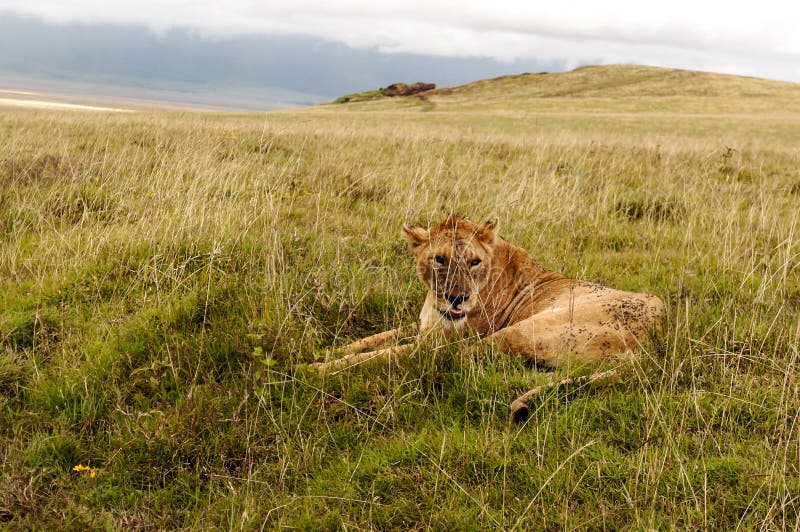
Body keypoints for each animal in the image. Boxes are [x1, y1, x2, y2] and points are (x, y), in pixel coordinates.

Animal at [311, 216, 665, 419]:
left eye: (474, 261)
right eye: (439, 259)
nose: (457, 298)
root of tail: (656, 341)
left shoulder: (434, 346)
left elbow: (374, 357)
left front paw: (313, 369)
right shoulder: (423, 327)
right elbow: (370, 340)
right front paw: (327, 351)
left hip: (516, 331)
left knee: (458, 362)